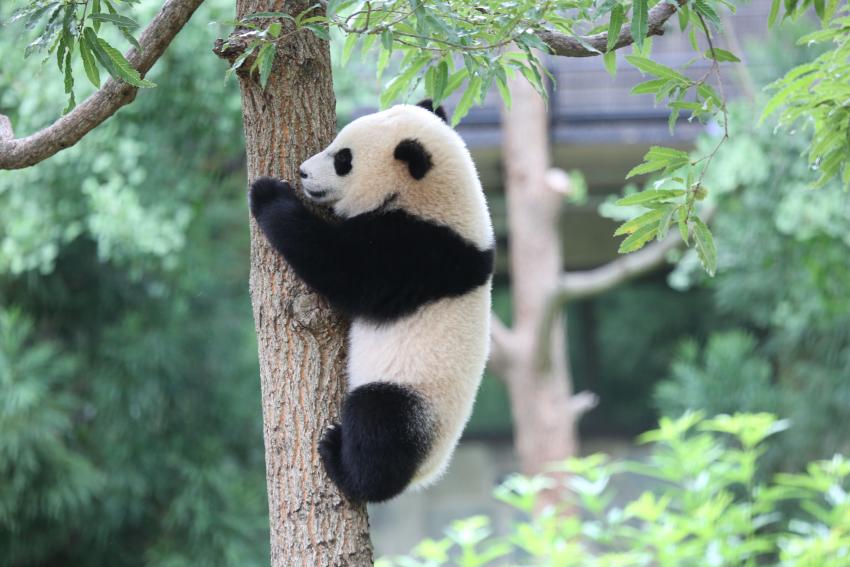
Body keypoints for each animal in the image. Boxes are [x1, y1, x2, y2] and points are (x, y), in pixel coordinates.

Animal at [248, 99, 494, 503]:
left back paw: (343, 463)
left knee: (378, 425)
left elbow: (338, 266)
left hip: (414, 397)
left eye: (343, 159)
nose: (302, 172)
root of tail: (429, 471)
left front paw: (267, 194)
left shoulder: (415, 251)